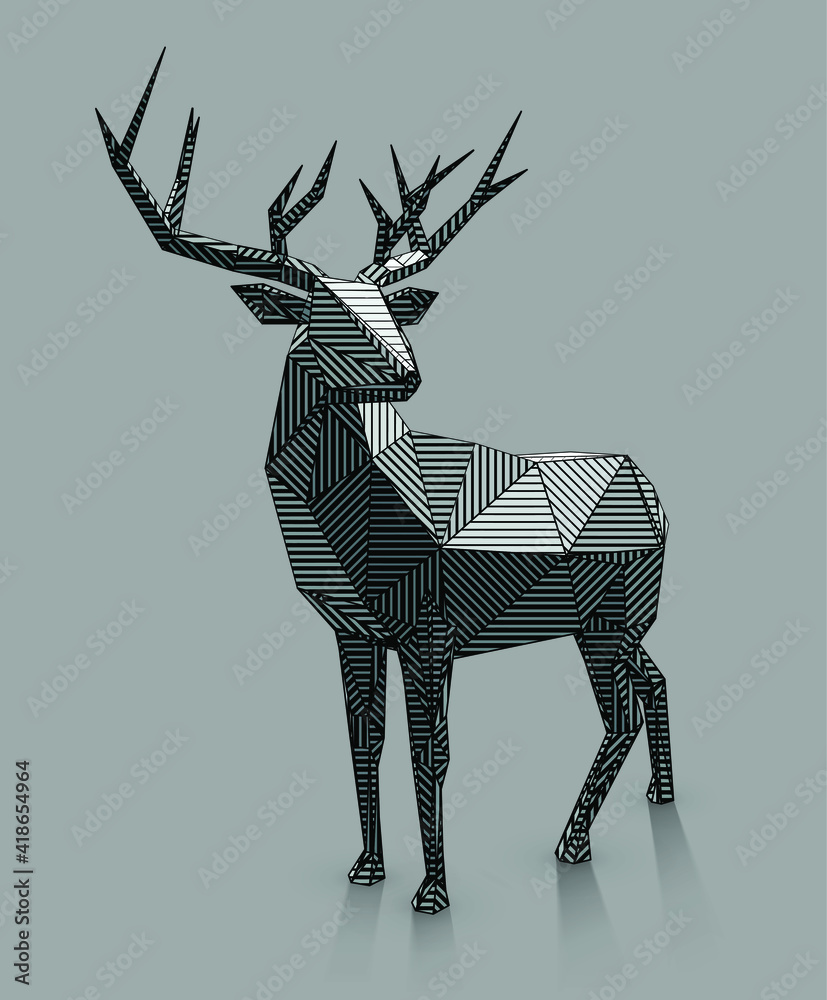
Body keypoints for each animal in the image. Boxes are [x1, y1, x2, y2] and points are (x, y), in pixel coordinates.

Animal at [97, 51, 674, 915]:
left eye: (386, 305)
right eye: (327, 310)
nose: (408, 372)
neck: (357, 512)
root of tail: (656, 494)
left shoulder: (431, 625)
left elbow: (429, 752)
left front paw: (432, 892)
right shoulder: (352, 628)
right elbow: (359, 742)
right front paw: (367, 866)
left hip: (612, 617)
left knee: (621, 712)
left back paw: (571, 843)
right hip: (614, 621)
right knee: (655, 682)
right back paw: (655, 799)